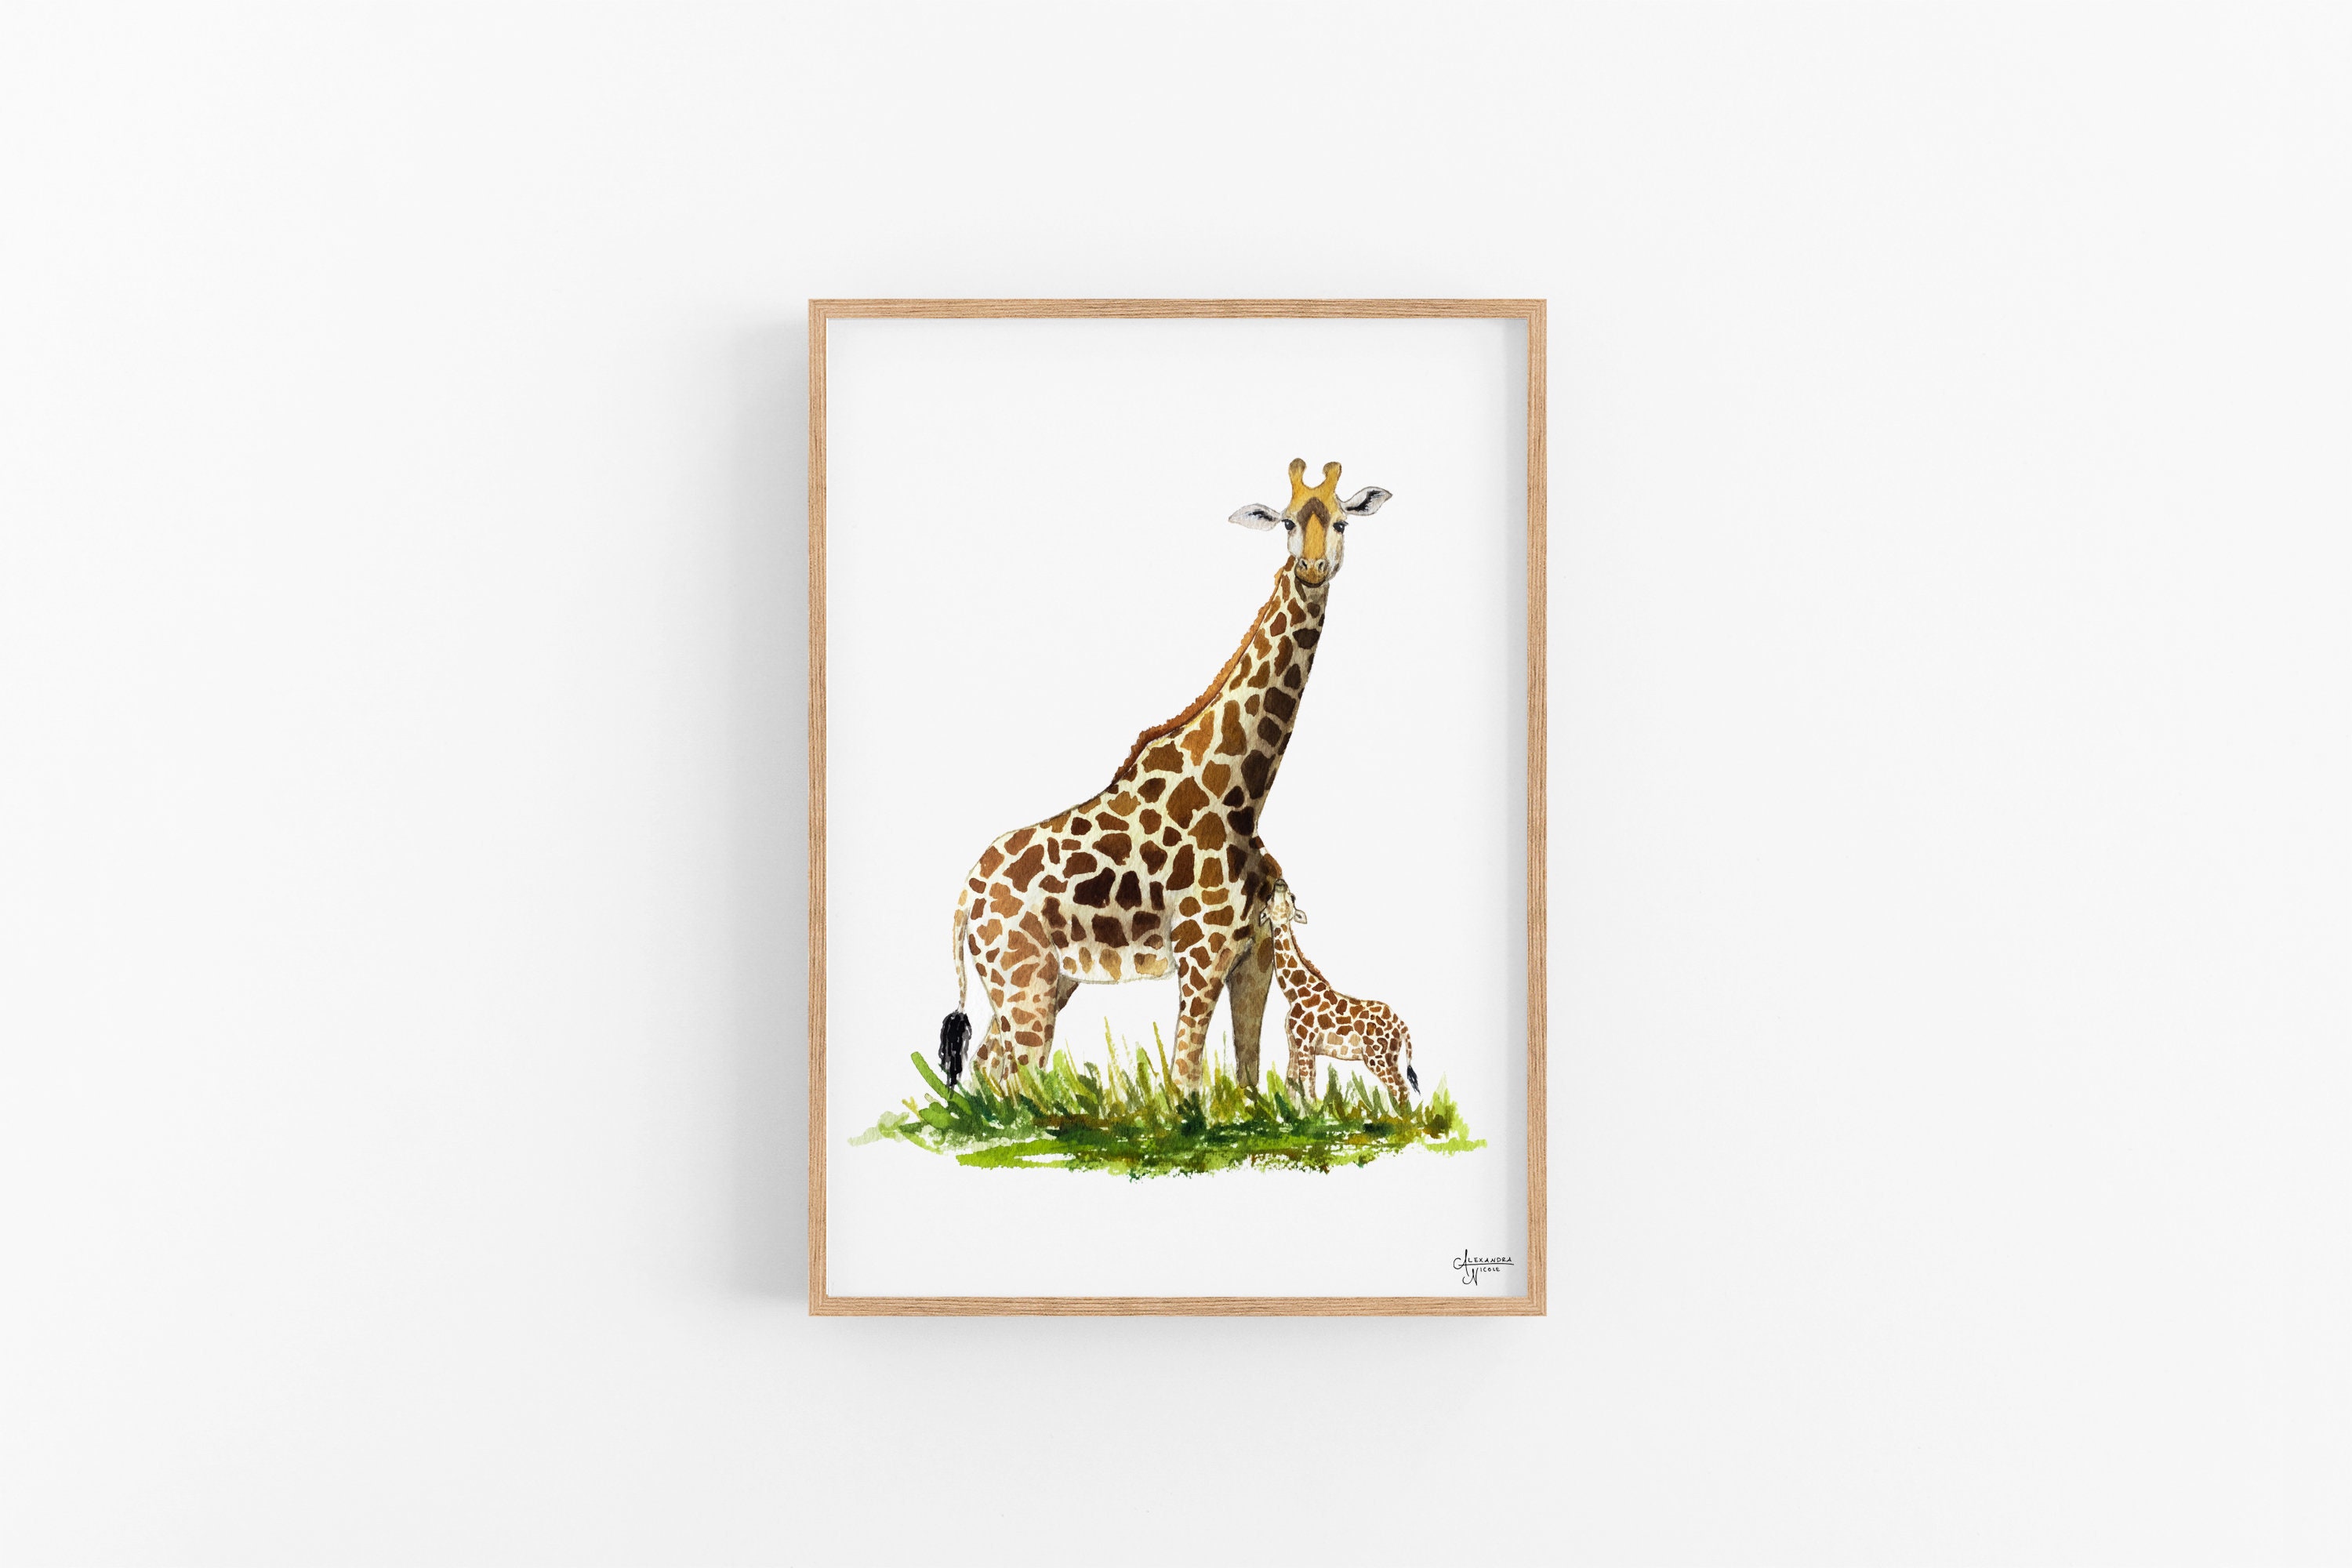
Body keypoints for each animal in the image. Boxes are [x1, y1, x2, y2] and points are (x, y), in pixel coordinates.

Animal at [938, 459, 1392, 1094]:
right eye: (1286, 522)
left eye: (1343, 521)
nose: (1312, 569)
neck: (1243, 795)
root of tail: (964, 899)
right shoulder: (1201, 953)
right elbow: (1184, 1082)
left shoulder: (1255, 956)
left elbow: (1247, 1078)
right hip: (1021, 981)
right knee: (1015, 1079)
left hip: (1046, 982)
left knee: (990, 1070)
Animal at [1257, 880, 1420, 1105]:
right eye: (1269, 897)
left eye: (1292, 897)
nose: (1280, 883)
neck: (1294, 992)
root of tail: (1402, 1026)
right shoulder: (1294, 1045)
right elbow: (1291, 1087)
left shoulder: (1306, 1044)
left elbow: (1309, 1091)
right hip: (1390, 1057)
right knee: (1401, 1089)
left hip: (1375, 1057)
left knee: (1399, 1090)